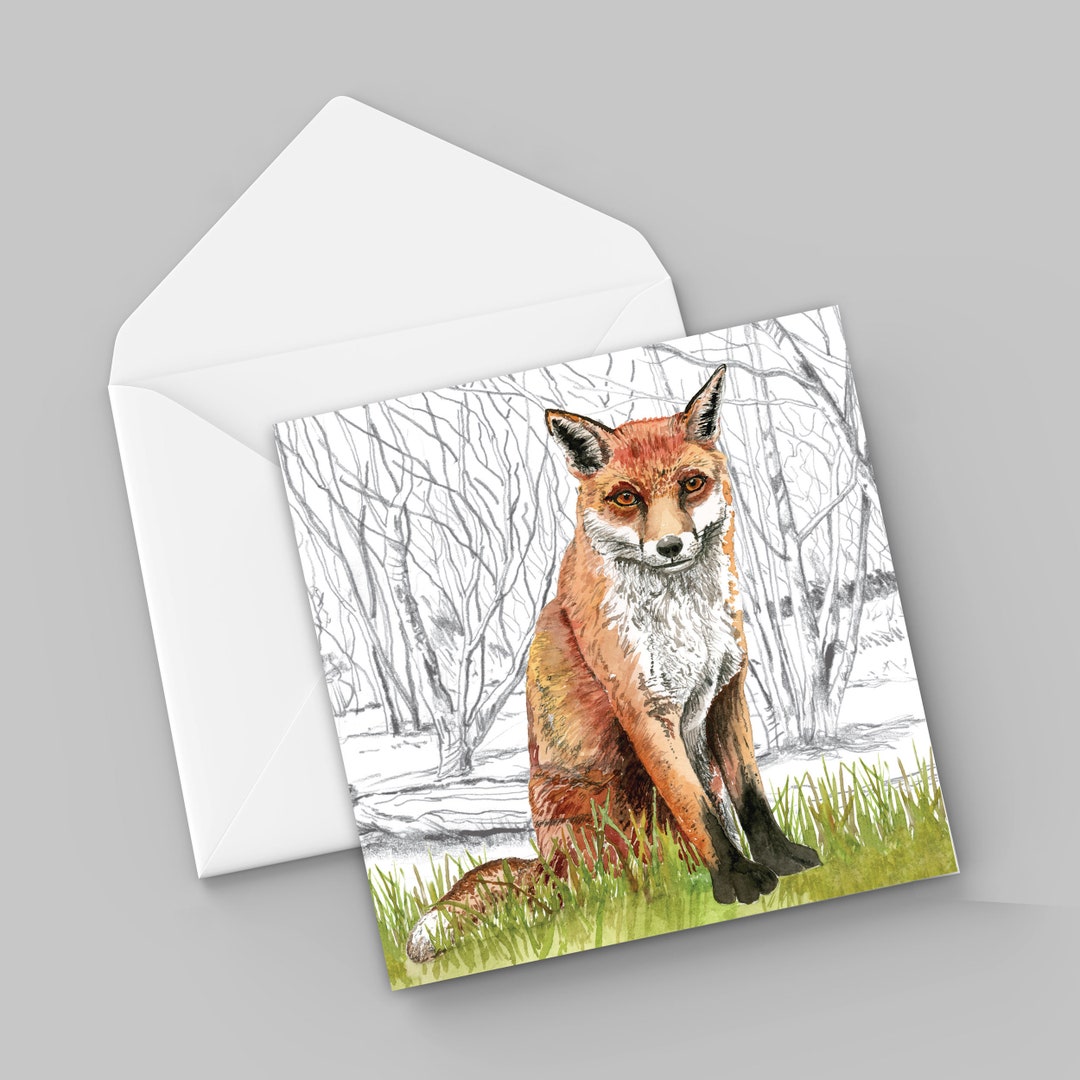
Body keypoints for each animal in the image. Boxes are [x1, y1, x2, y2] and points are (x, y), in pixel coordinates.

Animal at [406, 365, 820, 963]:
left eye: (690, 484)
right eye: (626, 497)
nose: (670, 546)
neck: (684, 619)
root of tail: (550, 866)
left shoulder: (726, 692)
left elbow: (751, 798)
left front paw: (783, 861)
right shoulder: (645, 710)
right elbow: (698, 812)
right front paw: (737, 881)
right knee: (606, 885)